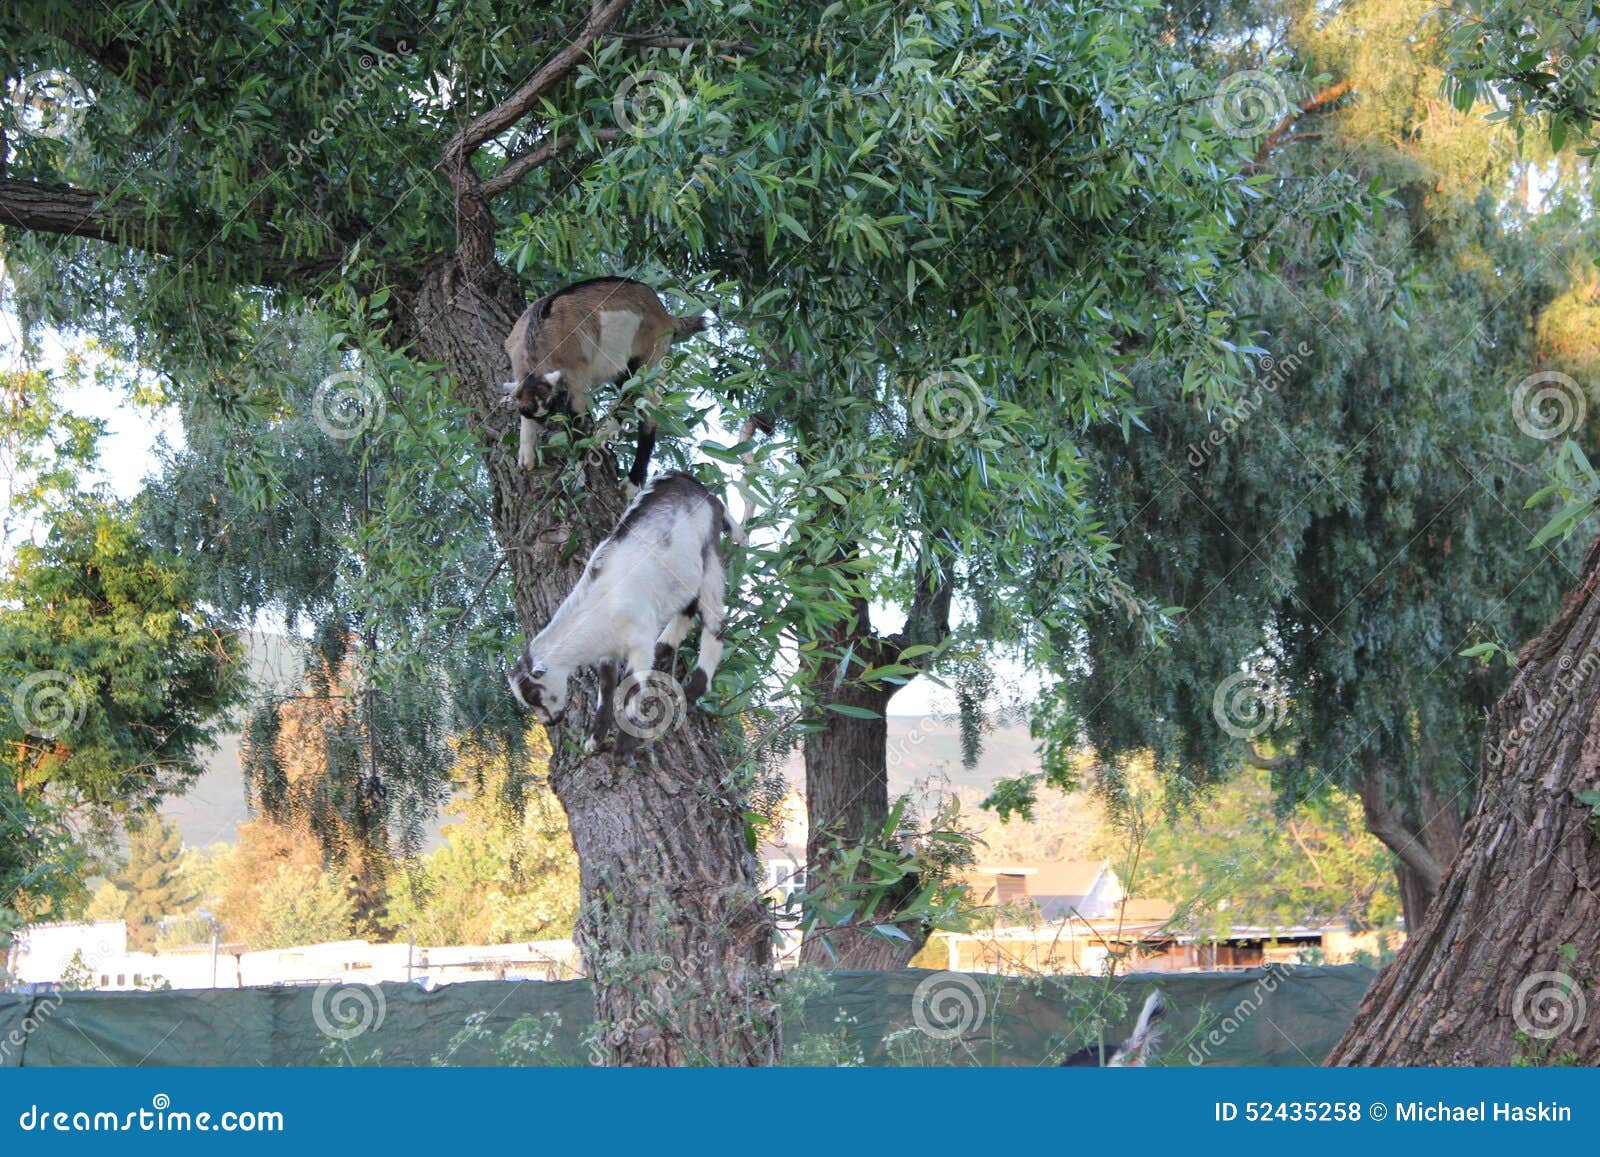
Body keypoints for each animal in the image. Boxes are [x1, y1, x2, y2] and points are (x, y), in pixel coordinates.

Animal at [502, 277, 706, 489]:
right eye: (530, 413)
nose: (544, 423)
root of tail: (668, 317)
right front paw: (526, 456)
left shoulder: (577, 375)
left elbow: (576, 420)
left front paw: (577, 476)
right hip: (622, 369)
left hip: (652, 360)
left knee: (644, 409)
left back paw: (628, 480)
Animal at [508, 470, 742, 756]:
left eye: (535, 695)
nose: (551, 721)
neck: (601, 605)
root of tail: (708, 494)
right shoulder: (608, 650)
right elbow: (607, 685)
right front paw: (594, 737)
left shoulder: (639, 642)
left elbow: (634, 686)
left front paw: (623, 748)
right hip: (685, 573)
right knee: (688, 605)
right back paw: (664, 647)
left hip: (710, 557)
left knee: (714, 619)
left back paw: (692, 689)